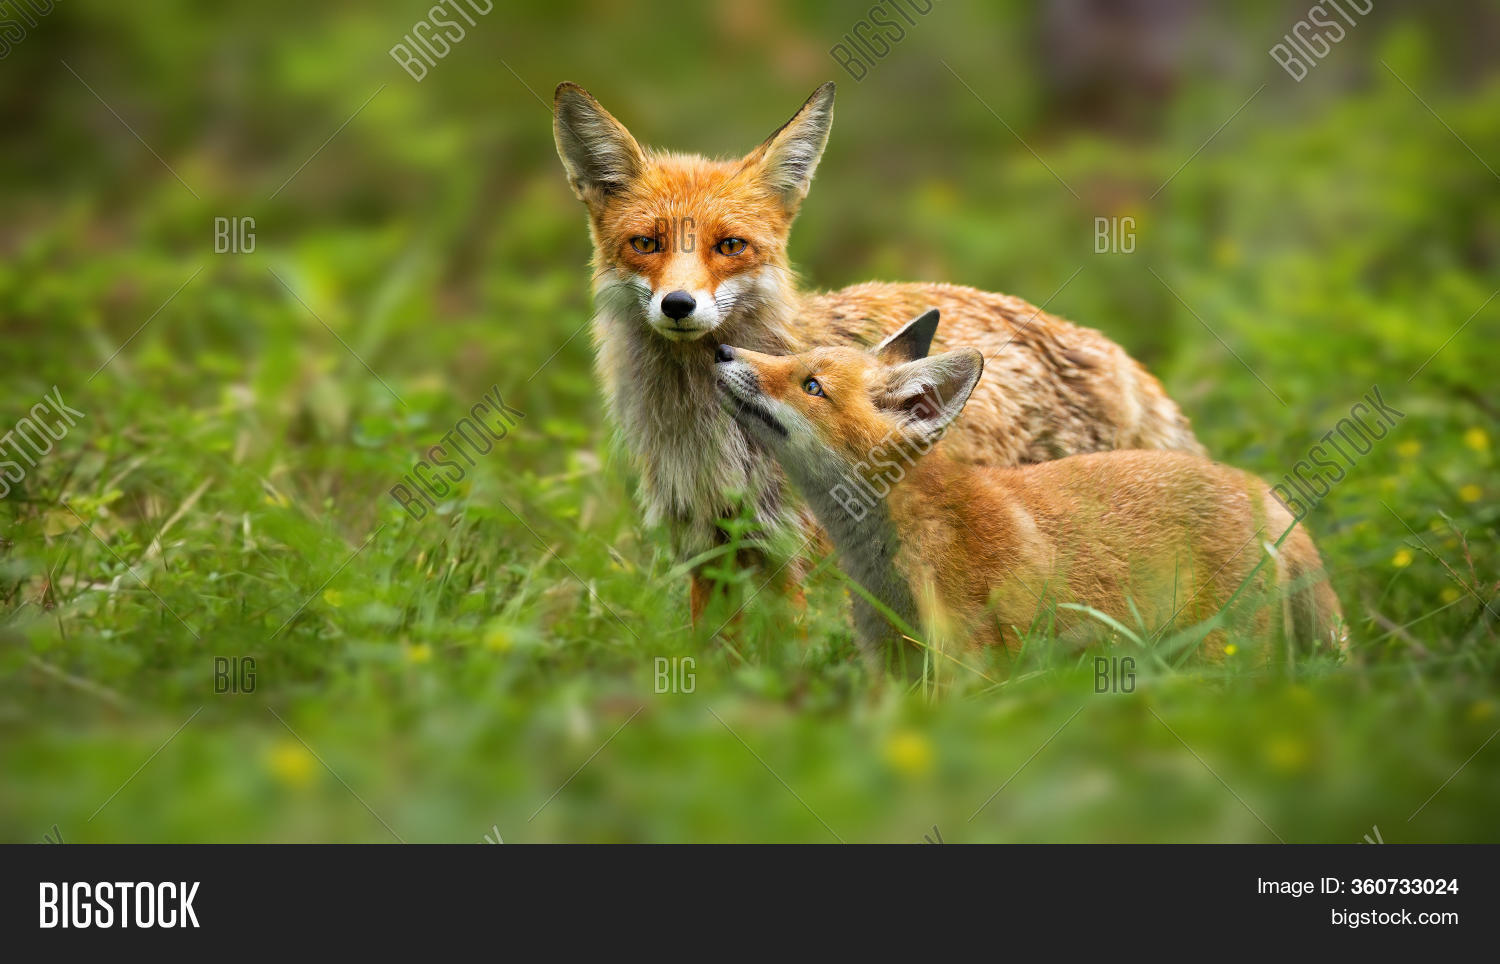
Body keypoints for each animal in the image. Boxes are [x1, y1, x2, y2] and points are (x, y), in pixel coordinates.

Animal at [552, 80, 1204, 624]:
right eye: (645, 244)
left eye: (730, 246)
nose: (679, 305)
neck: (711, 437)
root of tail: (1118, 357)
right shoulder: (708, 547)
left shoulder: (802, 554)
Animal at [713, 331, 1347, 672]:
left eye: (811, 386)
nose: (720, 349)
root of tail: (1264, 492)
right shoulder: (894, 664)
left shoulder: (975, 662)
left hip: (1223, 655)